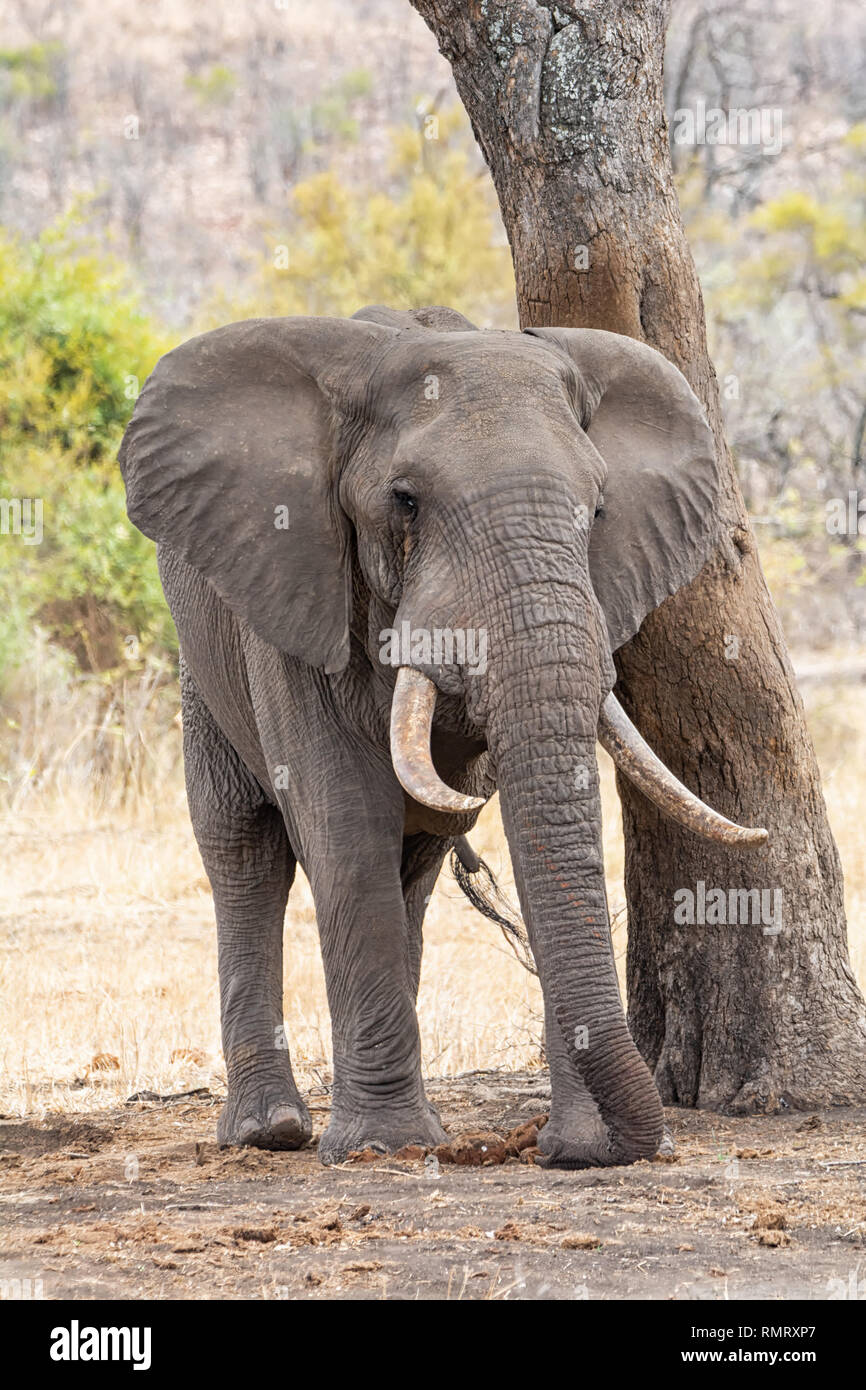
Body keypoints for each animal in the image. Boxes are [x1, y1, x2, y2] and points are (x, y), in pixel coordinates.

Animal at [118, 303, 767, 1168]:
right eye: (405, 502)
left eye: (598, 509)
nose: (587, 1151)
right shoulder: (297, 589)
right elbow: (343, 820)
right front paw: (379, 1149)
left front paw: (575, 1144)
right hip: (205, 658)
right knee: (242, 846)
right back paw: (271, 1130)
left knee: (417, 859)